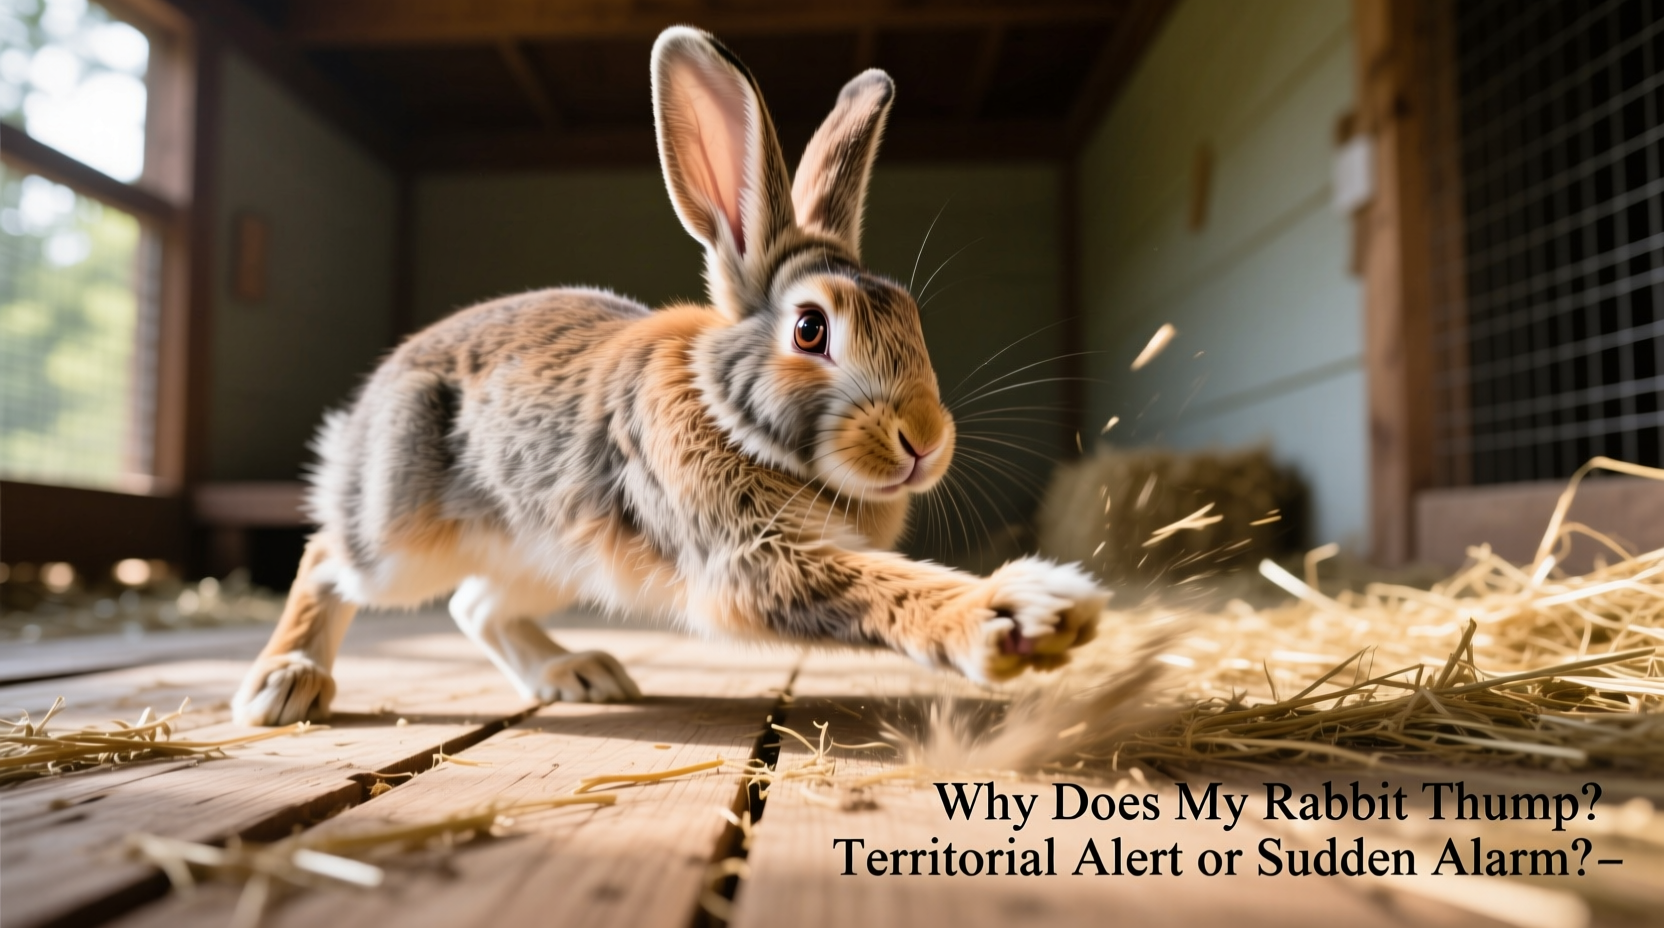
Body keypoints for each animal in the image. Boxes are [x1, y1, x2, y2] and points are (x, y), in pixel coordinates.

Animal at [231, 26, 1107, 727]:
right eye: (811, 329)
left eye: (911, 318)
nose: (923, 440)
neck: (730, 413)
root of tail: (372, 398)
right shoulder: (748, 553)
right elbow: (876, 585)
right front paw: (1026, 610)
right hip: (401, 538)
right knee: (328, 560)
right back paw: (282, 685)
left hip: (552, 556)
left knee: (474, 604)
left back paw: (579, 673)